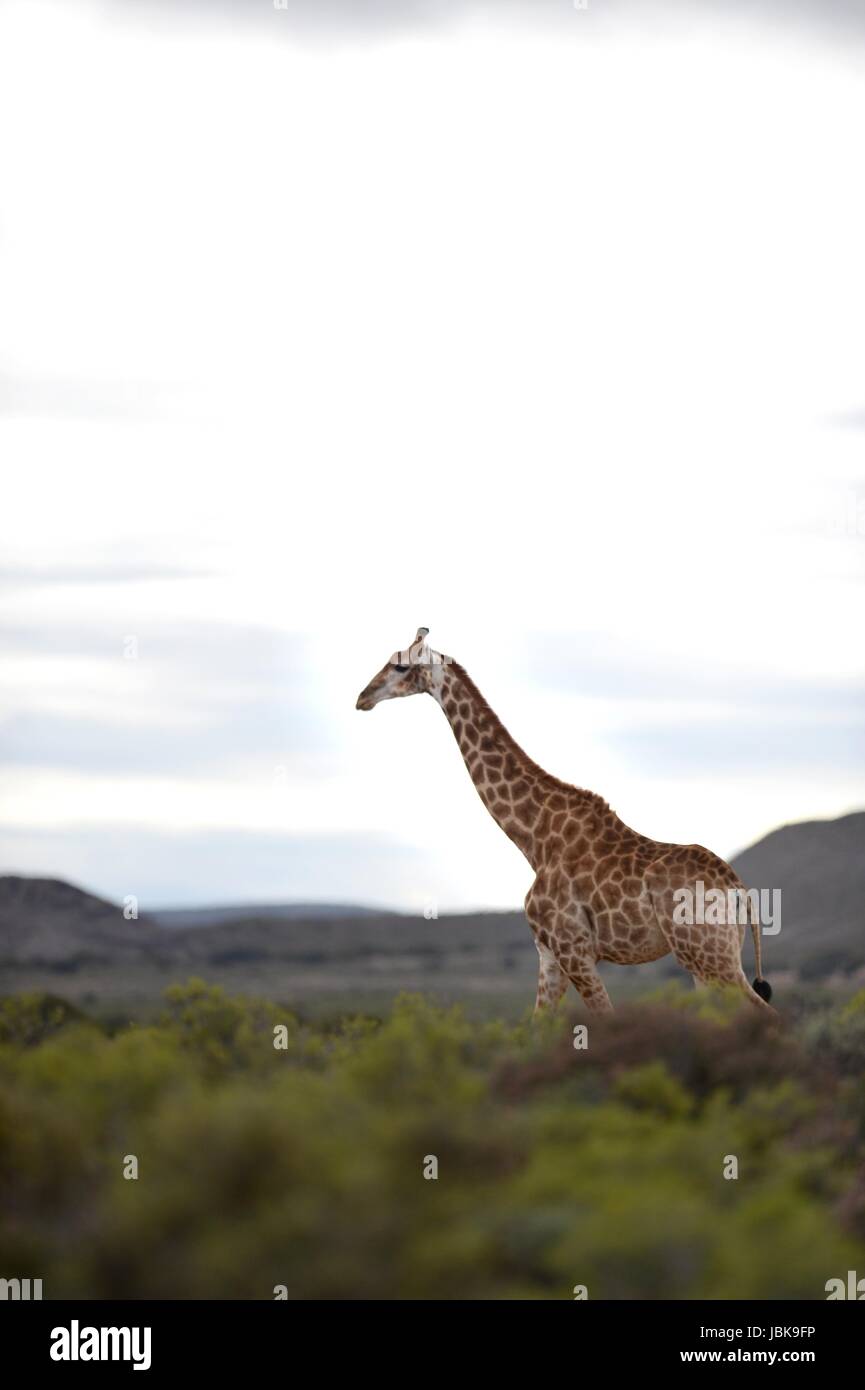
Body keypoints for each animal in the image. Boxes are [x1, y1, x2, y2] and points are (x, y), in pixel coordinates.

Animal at [356, 629, 775, 1017]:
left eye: (401, 666)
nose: (362, 698)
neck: (535, 839)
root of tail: (737, 888)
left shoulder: (574, 949)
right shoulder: (548, 953)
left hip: (707, 955)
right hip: (708, 959)